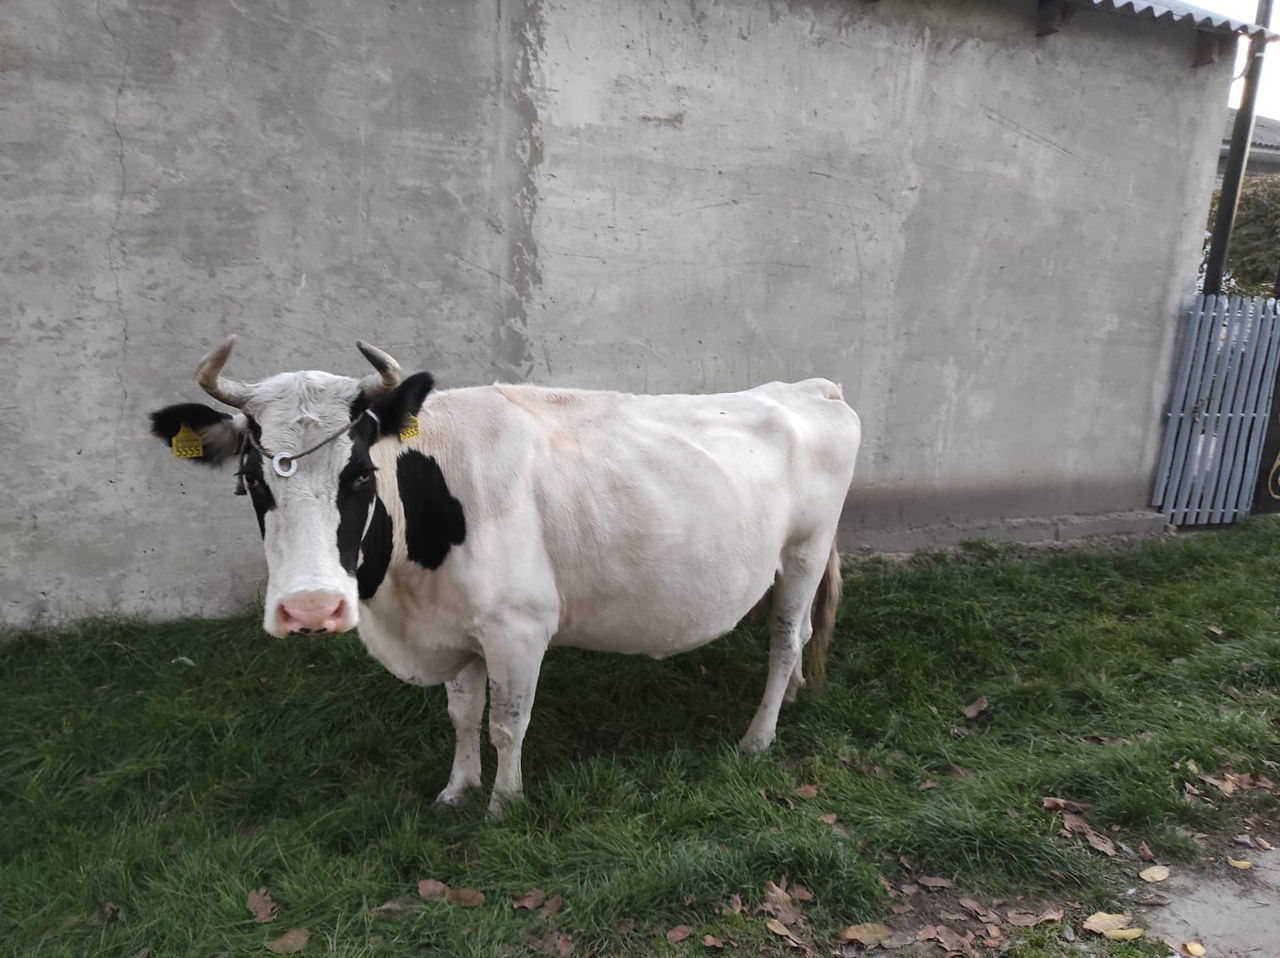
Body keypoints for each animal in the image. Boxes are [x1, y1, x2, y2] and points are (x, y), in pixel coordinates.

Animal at [150, 337, 861, 813]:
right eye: (251, 478)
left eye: (359, 473)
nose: (310, 609)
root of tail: (810, 388)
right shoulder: (455, 629)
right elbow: (463, 716)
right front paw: (457, 789)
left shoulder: (518, 628)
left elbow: (506, 722)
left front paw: (503, 805)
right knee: (798, 638)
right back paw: (791, 698)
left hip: (803, 551)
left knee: (783, 641)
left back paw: (758, 736)